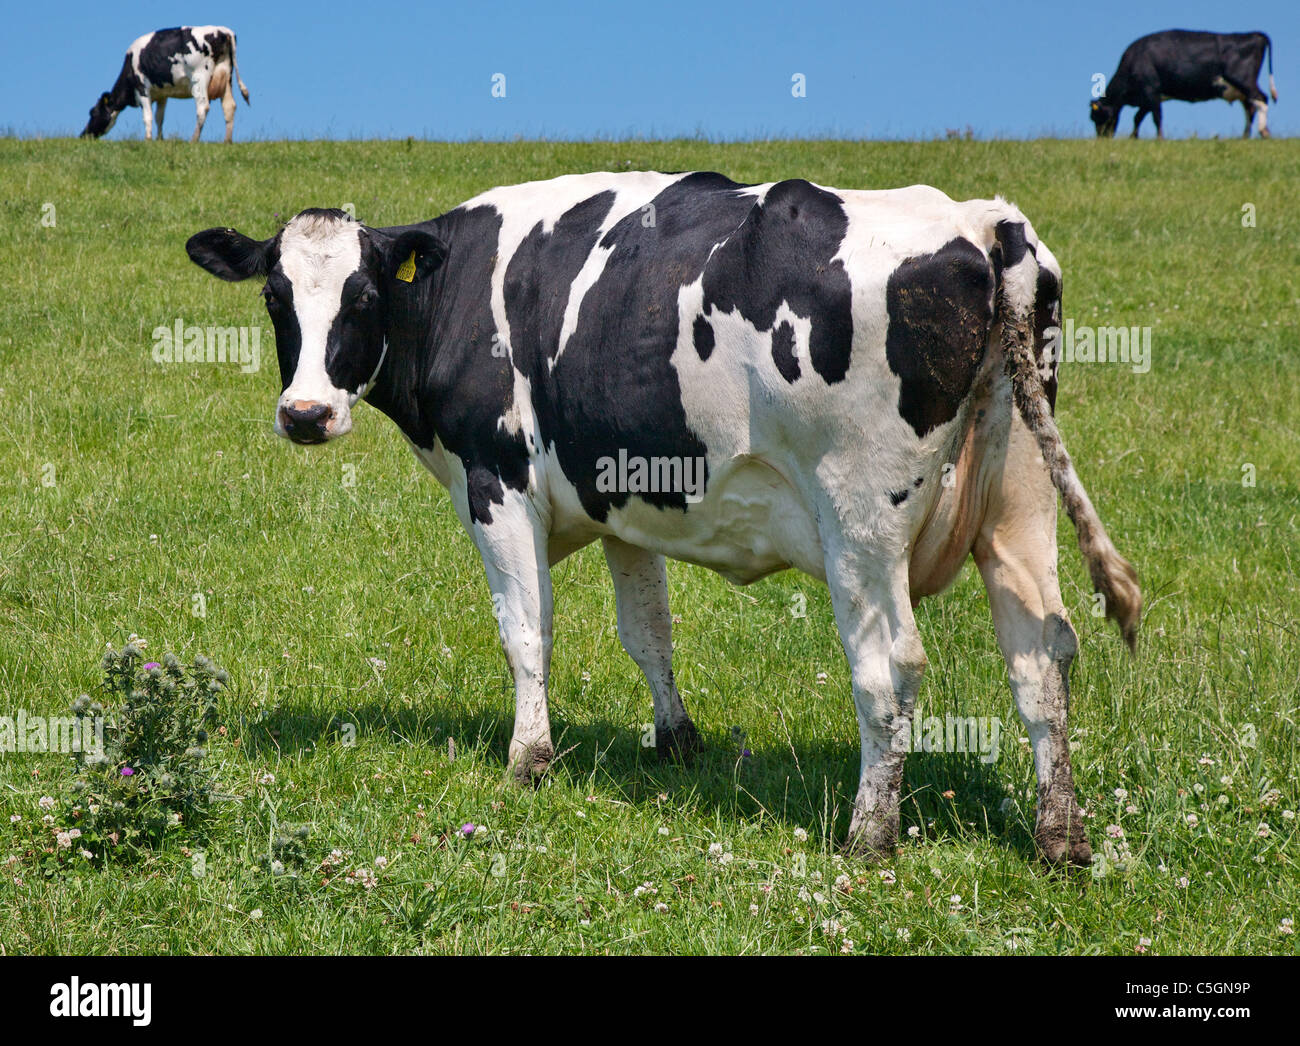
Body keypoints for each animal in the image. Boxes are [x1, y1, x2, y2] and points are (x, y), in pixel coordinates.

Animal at [81, 26, 250, 143]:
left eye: (92, 112)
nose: (83, 135)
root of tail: (224, 31)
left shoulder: (142, 88)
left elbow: (148, 116)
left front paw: (148, 140)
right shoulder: (162, 94)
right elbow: (159, 117)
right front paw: (159, 139)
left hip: (200, 77)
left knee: (203, 107)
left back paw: (194, 140)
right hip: (226, 78)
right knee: (229, 107)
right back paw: (227, 141)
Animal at [186, 171, 1142, 866]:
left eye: (361, 296)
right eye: (275, 298)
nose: (306, 414)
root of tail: (982, 221)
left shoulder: (496, 483)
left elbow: (525, 630)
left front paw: (527, 760)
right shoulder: (620, 506)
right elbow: (648, 632)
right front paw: (677, 740)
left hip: (862, 520)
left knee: (890, 671)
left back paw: (868, 837)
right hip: (1020, 505)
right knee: (1043, 656)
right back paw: (1060, 838)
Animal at [1090, 29, 1277, 139]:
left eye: (1096, 116)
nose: (1102, 139)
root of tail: (1255, 34)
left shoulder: (1151, 90)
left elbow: (1156, 117)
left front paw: (1160, 139)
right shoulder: (1148, 97)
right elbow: (1138, 118)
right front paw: (1133, 137)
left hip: (1243, 80)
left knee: (1261, 99)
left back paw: (1264, 132)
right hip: (1240, 89)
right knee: (1250, 108)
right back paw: (1244, 137)